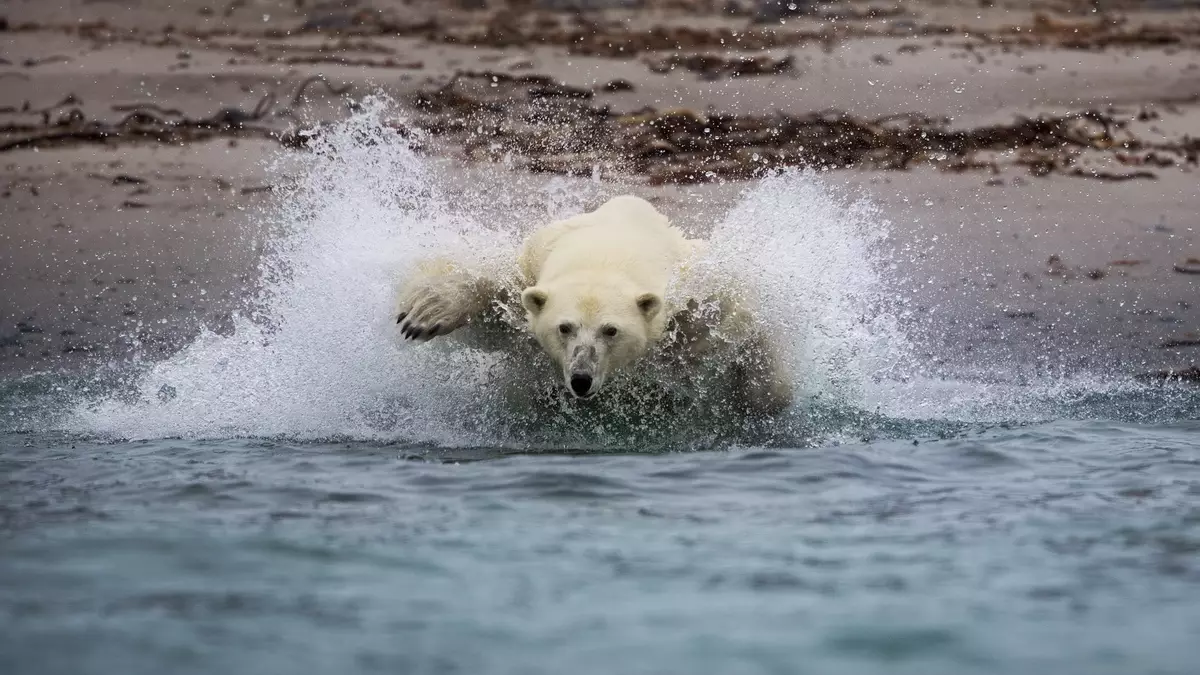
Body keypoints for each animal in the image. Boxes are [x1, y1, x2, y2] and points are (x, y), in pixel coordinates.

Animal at [388, 194, 792, 413]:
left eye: (611, 330)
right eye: (564, 327)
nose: (581, 379)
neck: (607, 252)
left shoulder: (689, 299)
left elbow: (737, 320)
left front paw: (762, 397)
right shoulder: (528, 272)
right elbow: (490, 290)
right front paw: (423, 315)